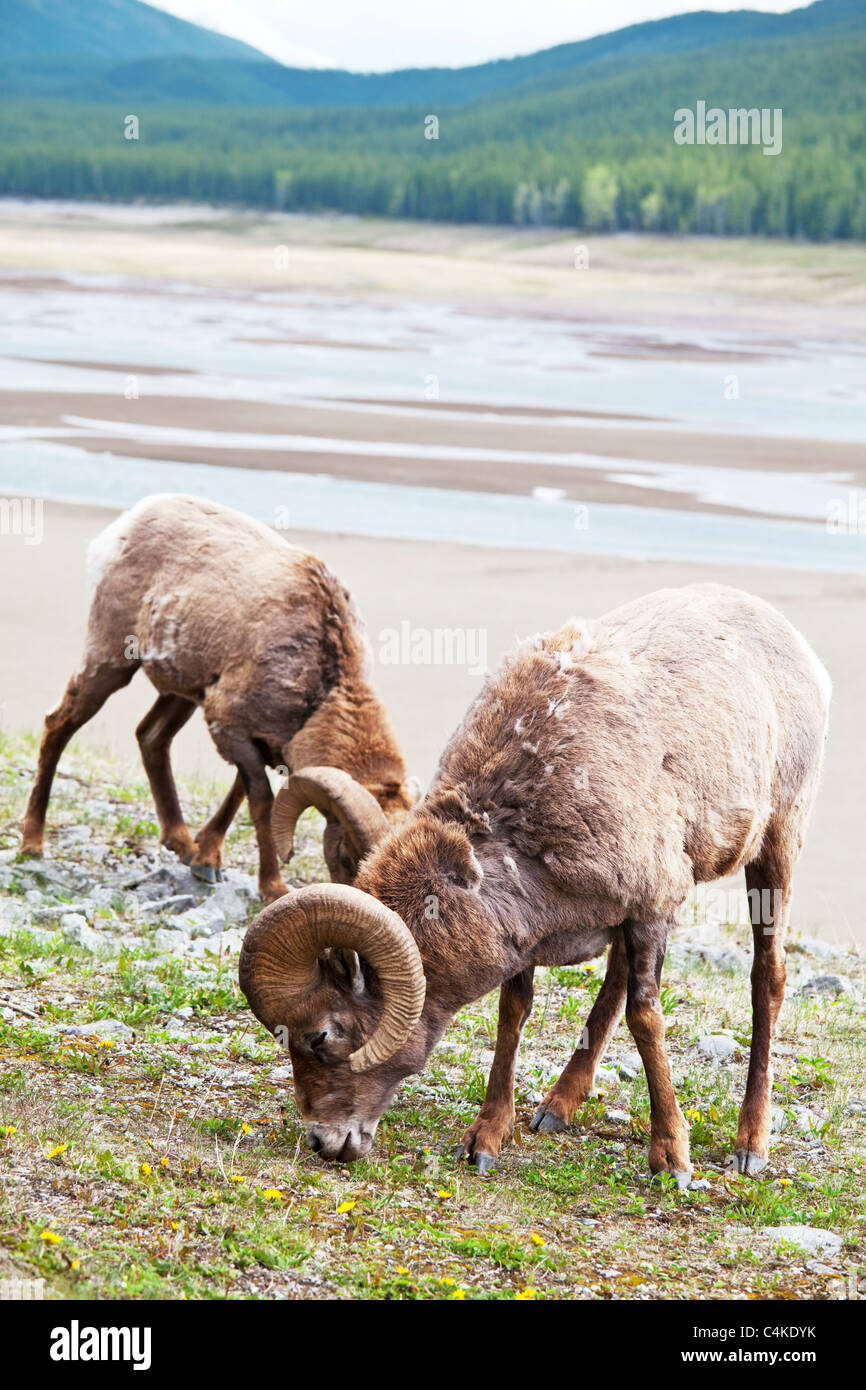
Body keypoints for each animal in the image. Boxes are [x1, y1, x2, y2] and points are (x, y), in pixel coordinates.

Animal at [20, 494, 417, 901]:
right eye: (347, 857)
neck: (317, 691)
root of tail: (127, 523)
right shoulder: (231, 728)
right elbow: (260, 802)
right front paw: (271, 886)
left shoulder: (255, 740)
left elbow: (238, 795)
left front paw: (205, 860)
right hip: (110, 661)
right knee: (60, 724)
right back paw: (32, 843)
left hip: (182, 692)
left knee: (151, 737)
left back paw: (181, 844)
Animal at [240, 583, 830, 1183]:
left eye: (321, 1034)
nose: (324, 1141)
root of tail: (787, 636)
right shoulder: (551, 933)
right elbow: (515, 1013)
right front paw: (485, 1141)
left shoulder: (651, 908)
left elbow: (645, 1017)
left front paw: (671, 1159)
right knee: (615, 981)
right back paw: (557, 1108)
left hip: (777, 845)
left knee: (767, 977)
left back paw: (751, 1144)